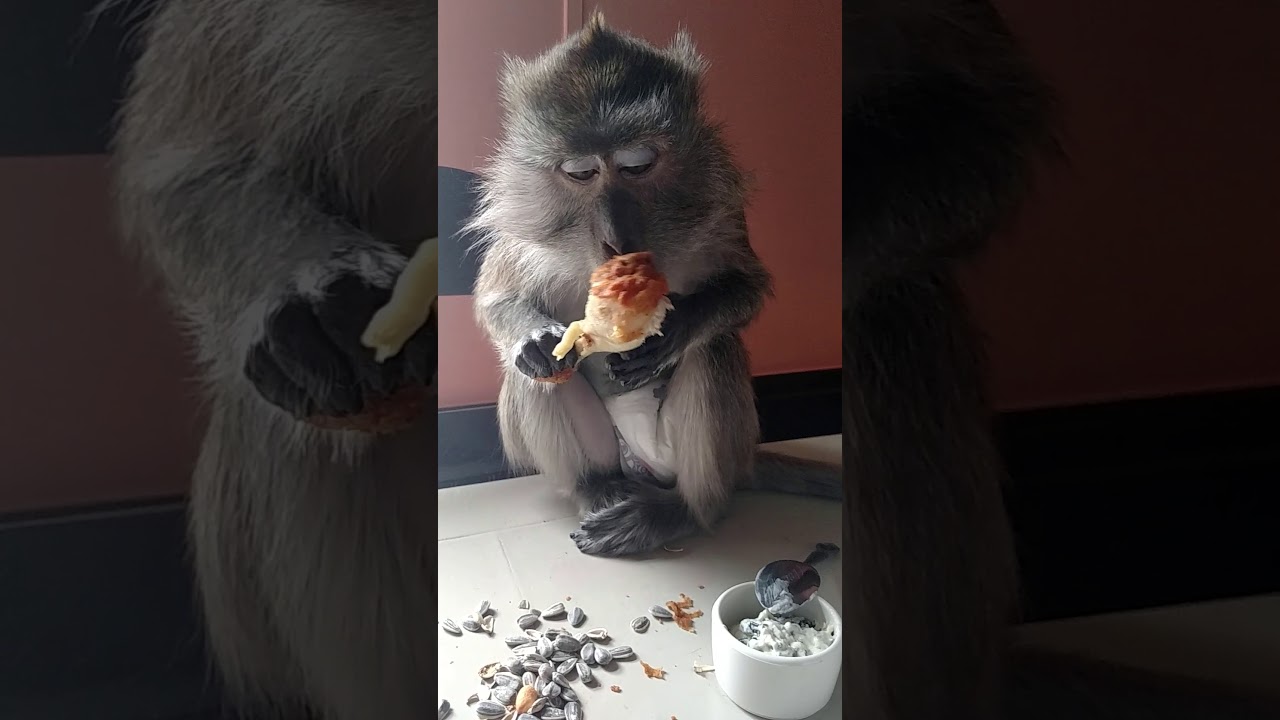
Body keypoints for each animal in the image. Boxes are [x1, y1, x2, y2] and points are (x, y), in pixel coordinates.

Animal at [467, 13, 841, 559]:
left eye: (638, 165)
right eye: (580, 172)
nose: (615, 238)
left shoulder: (719, 202)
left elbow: (746, 285)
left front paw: (680, 327)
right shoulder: (522, 228)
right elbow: (498, 300)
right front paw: (532, 336)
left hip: (680, 458)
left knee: (714, 352)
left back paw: (681, 511)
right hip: (609, 448)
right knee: (538, 375)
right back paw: (597, 484)